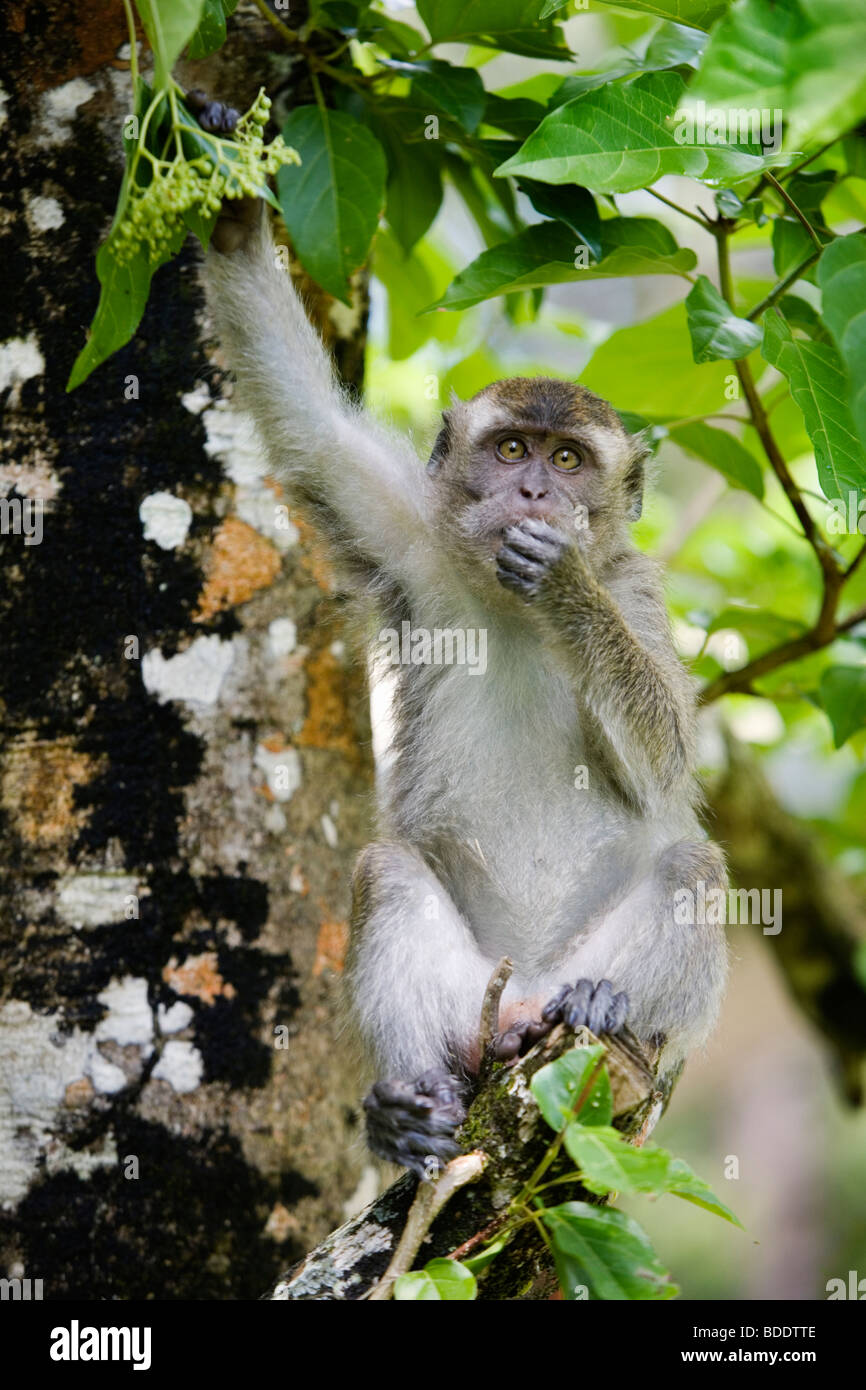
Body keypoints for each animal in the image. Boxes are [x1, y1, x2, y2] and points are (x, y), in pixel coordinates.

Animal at [203, 197, 728, 1179]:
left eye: (569, 462)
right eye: (513, 448)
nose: (532, 494)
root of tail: (520, 995)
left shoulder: (638, 591)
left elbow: (667, 756)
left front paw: (567, 584)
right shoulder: (410, 540)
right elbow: (310, 429)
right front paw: (231, 213)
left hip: (577, 988)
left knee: (693, 868)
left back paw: (606, 1004)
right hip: (467, 994)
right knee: (387, 876)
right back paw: (409, 1108)